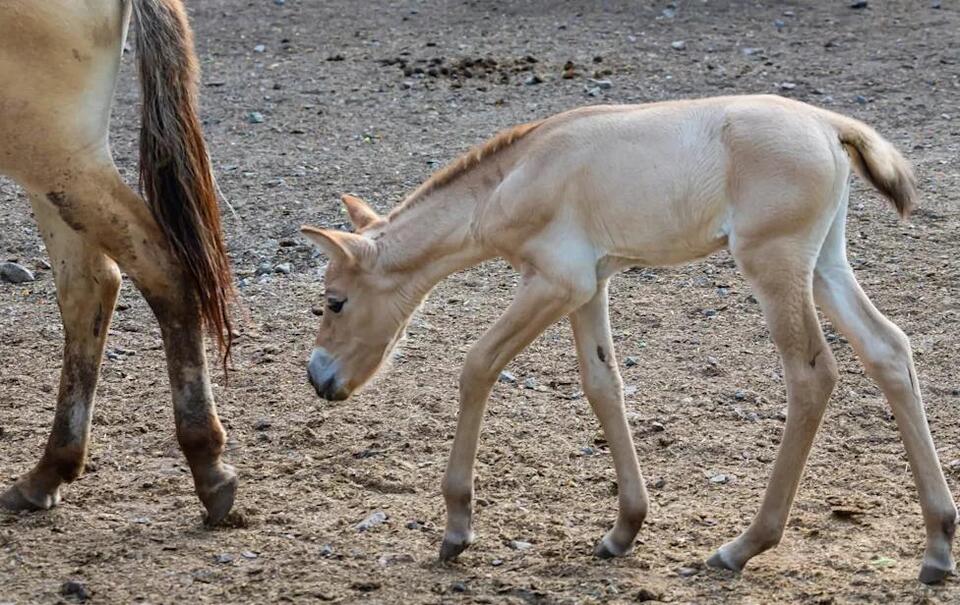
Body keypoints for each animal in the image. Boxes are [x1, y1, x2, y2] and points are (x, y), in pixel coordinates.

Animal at [0, 0, 237, 524]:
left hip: (55, 154)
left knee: (161, 269)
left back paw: (208, 466)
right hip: (54, 165)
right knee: (90, 288)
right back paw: (48, 472)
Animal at [300, 95, 957, 583]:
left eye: (334, 301)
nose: (318, 378)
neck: (515, 177)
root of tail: (828, 125)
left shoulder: (555, 281)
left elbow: (477, 365)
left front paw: (458, 527)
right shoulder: (589, 285)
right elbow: (602, 384)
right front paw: (624, 529)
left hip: (775, 263)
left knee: (812, 375)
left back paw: (743, 545)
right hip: (824, 263)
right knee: (889, 350)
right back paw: (938, 544)